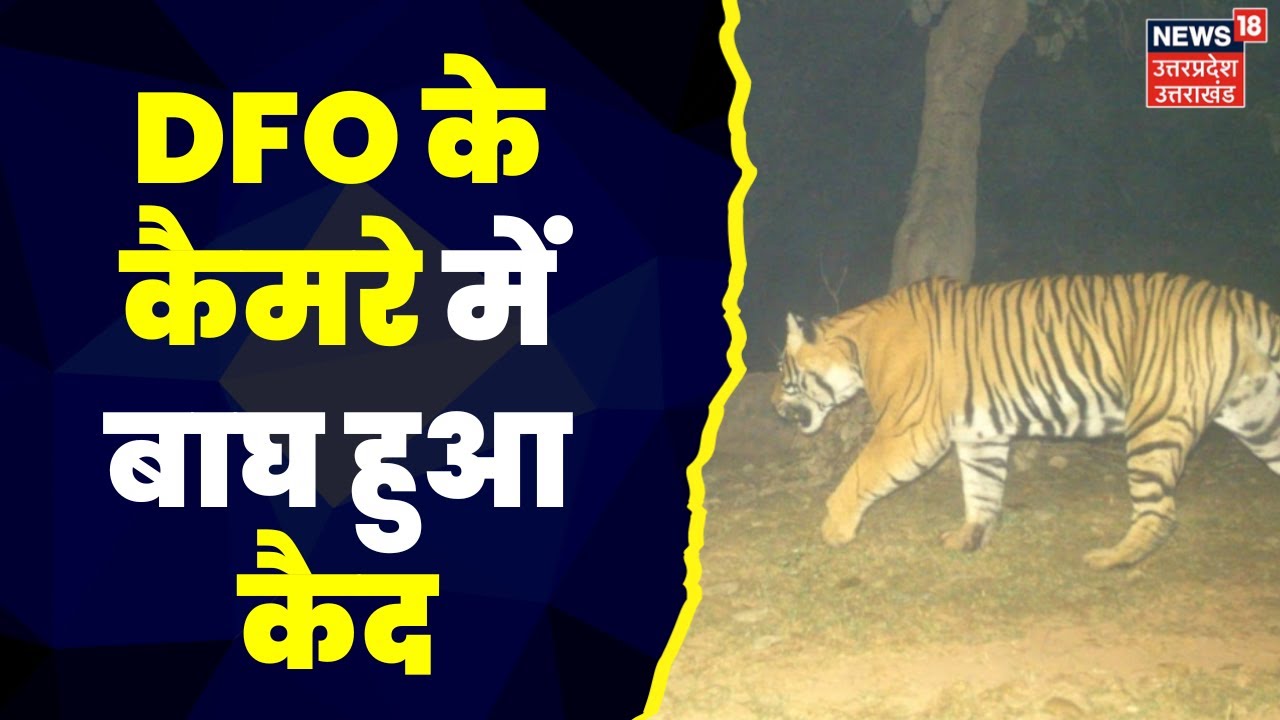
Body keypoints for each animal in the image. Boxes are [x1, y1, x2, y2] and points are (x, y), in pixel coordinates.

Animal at [771, 273, 1280, 569]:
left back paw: (1111, 559)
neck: (856, 347)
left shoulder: (908, 428)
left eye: (780, 368)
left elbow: (860, 475)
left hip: (1154, 419)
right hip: (1260, 417)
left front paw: (834, 528)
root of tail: (1240, 300)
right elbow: (982, 489)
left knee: (1159, 511)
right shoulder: (981, 433)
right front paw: (968, 539)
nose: (772, 404)